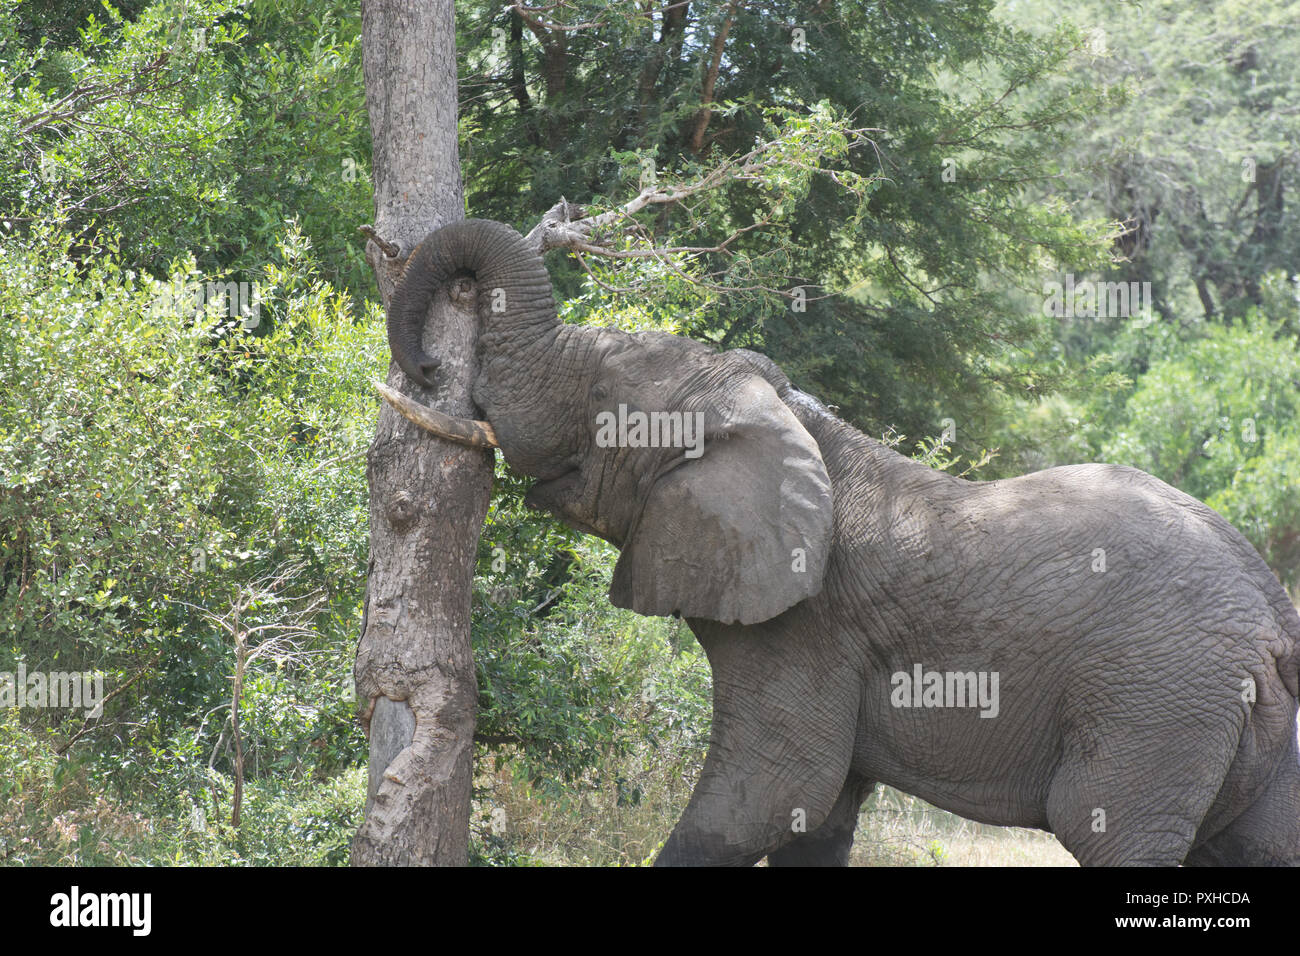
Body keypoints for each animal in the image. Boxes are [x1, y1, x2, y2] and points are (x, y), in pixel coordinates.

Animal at [380, 217, 1300, 866]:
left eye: (603, 401)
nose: (426, 369)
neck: (787, 415)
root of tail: (1274, 615)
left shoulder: (805, 625)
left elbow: (765, 794)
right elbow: (816, 820)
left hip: (1155, 701)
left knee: (1109, 831)